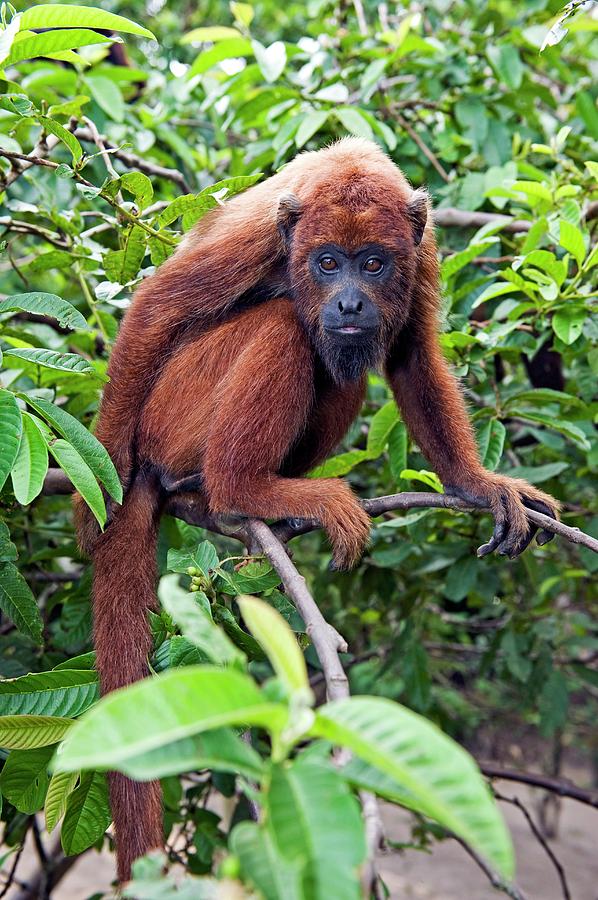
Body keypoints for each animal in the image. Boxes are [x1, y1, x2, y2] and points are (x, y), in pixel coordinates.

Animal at [73, 138, 559, 881]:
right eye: (328, 262)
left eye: (373, 263)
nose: (351, 300)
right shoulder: (256, 237)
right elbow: (157, 306)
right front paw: (94, 497)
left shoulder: (420, 251)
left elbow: (412, 353)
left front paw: (478, 482)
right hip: (171, 412)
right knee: (286, 325)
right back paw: (239, 488)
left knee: (343, 364)